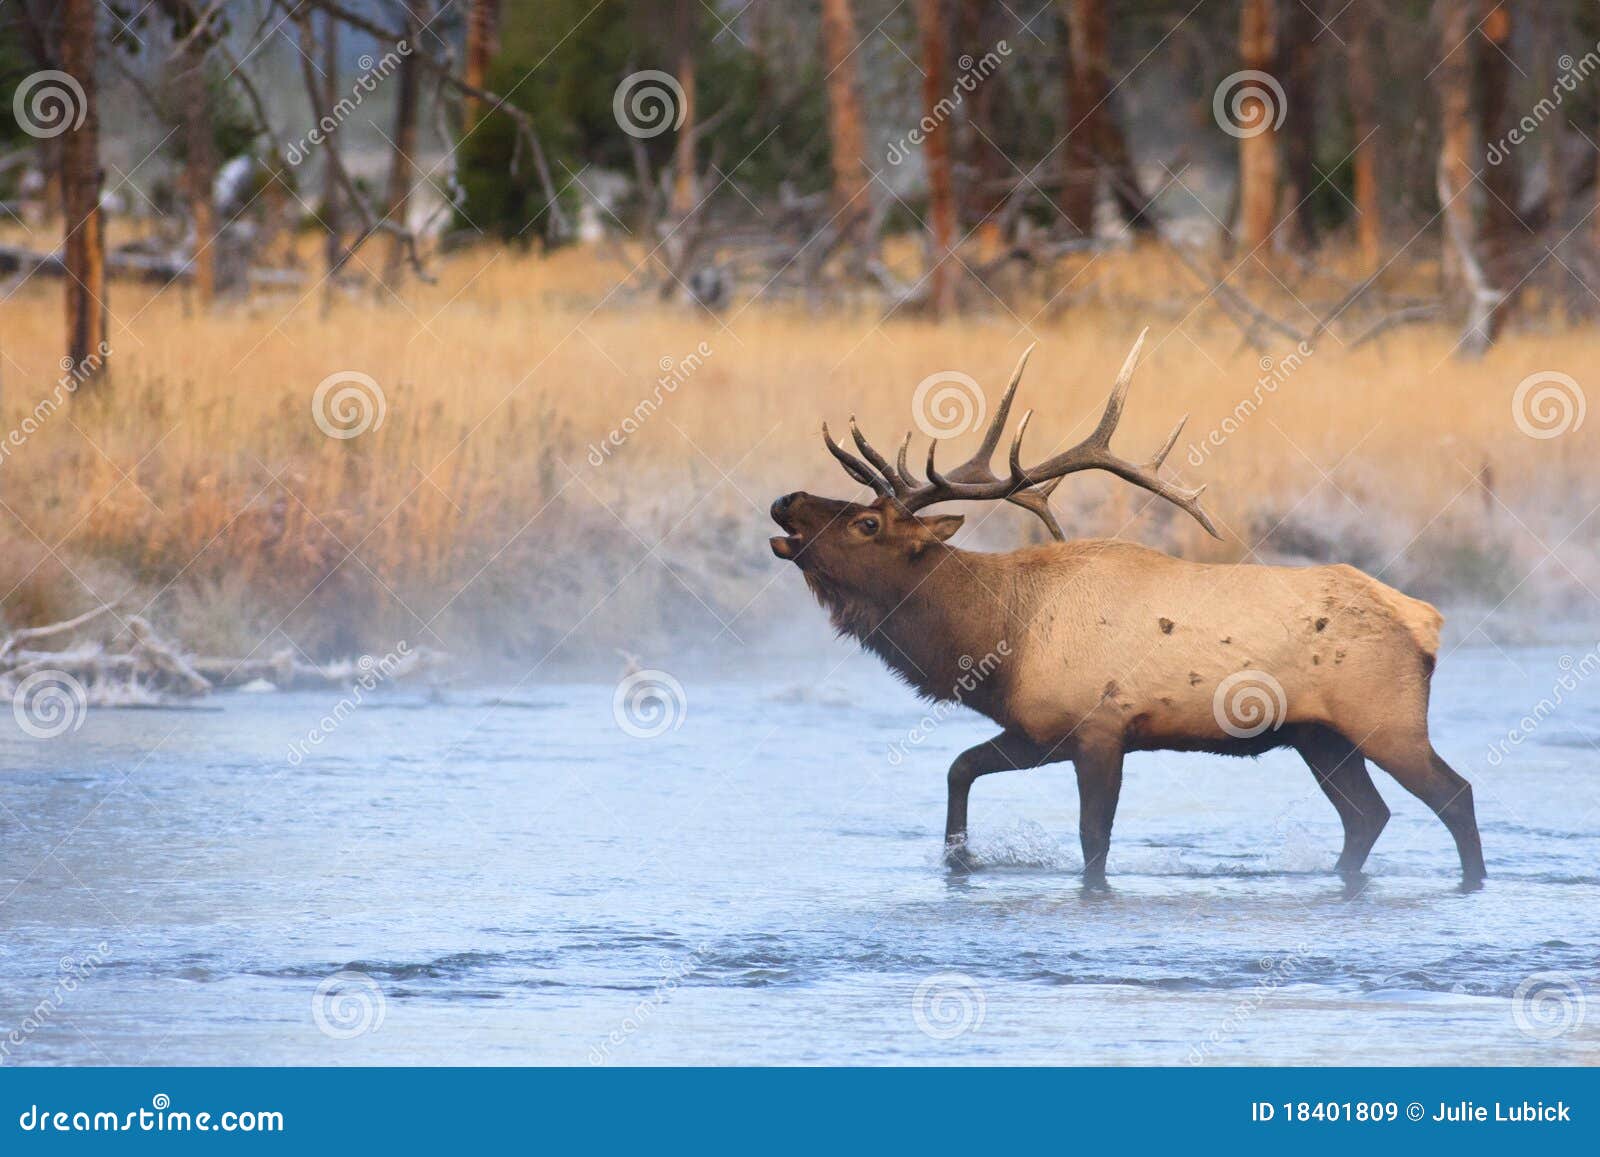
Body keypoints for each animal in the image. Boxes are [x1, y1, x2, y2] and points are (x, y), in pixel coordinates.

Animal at [769, 331, 1485, 890]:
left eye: (867, 523)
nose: (784, 500)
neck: (998, 637)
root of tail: (1425, 620)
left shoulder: (1101, 728)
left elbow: (1094, 840)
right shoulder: (1039, 730)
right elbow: (959, 769)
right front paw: (959, 863)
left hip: (1385, 718)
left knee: (1453, 794)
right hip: (1321, 736)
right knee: (1367, 815)